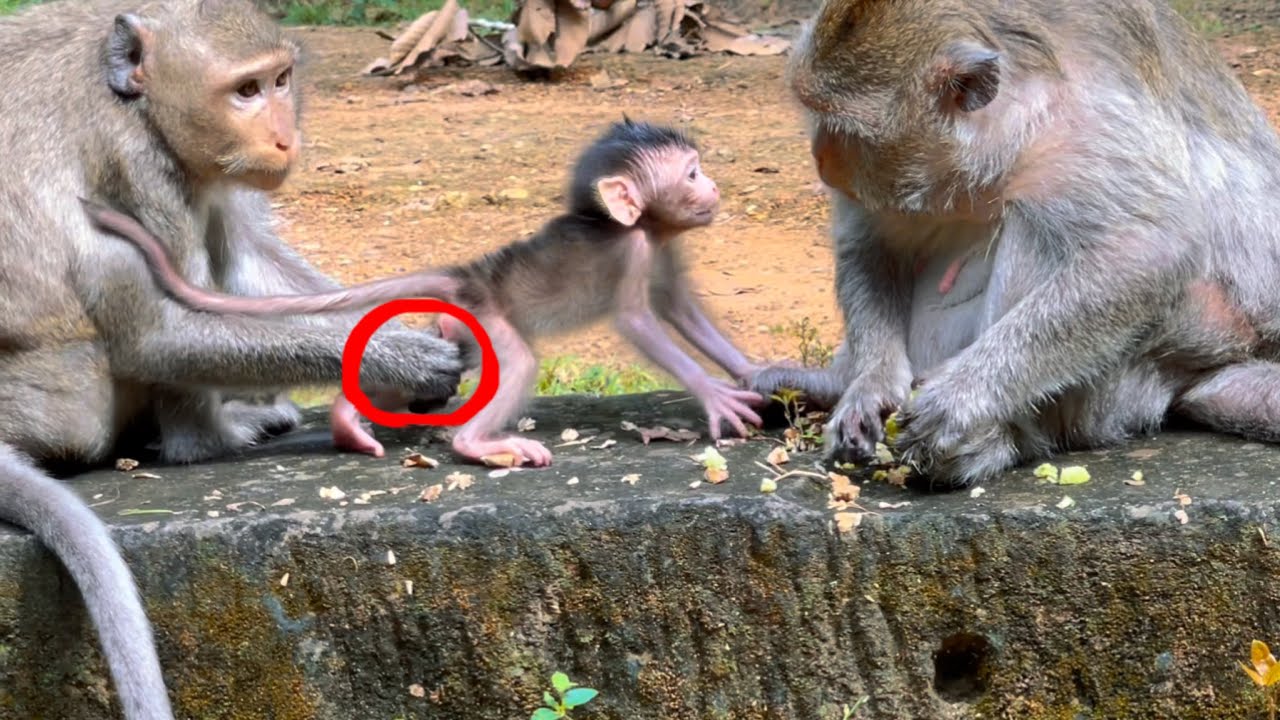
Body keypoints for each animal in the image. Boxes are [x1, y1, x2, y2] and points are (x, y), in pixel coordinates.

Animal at [0, 1, 461, 717]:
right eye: (244, 91)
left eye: (279, 81)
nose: (284, 138)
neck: (135, 97)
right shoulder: (136, 162)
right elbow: (164, 334)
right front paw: (401, 360)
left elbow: (247, 255)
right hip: (60, 399)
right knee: (123, 277)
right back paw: (211, 436)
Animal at [82, 118, 768, 468]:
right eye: (691, 173)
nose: (713, 189)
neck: (642, 228)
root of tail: (470, 277)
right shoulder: (631, 250)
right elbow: (639, 321)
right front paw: (714, 394)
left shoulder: (664, 246)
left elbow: (679, 308)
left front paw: (753, 371)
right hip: (491, 318)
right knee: (518, 362)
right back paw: (477, 446)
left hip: (459, 325)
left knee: (433, 357)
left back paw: (347, 422)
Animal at [748, 0, 1280, 489]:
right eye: (812, 113)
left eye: (845, 128)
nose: (821, 159)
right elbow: (872, 246)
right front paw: (869, 390)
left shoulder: (1079, 125)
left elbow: (1148, 248)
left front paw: (959, 400)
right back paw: (825, 385)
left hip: (1184, 340)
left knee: (1036, 225)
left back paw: (998, 442)